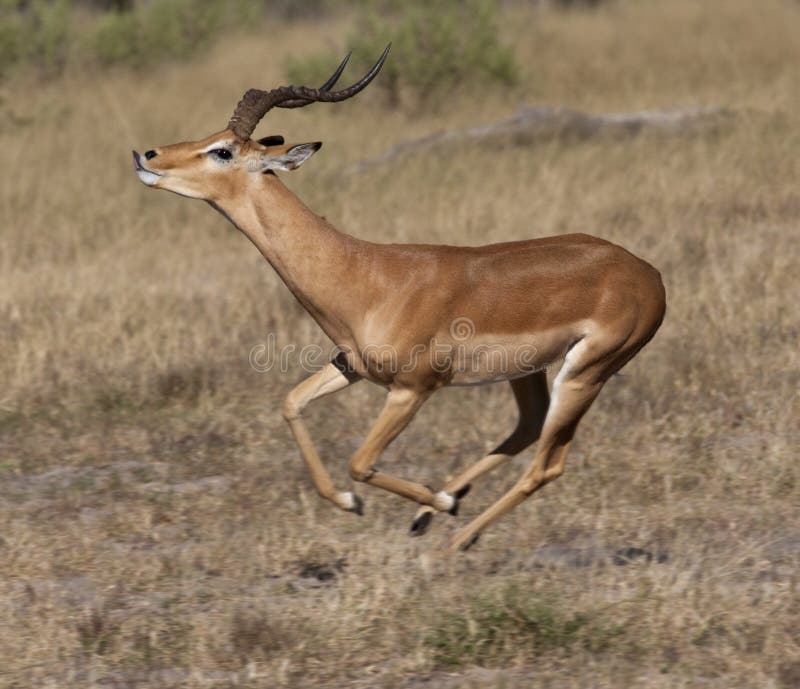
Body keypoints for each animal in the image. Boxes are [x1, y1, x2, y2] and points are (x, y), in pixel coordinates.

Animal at [132, 47, 666, 552]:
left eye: (222, 150)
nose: (146, 156)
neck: (367, 273)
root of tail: (649, 275)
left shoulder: (411, 390)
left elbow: (359, 461)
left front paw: (428, 501)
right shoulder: (351, 366)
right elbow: (291, 403)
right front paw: (353, 503)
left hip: (584, 374)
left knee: (546, 466)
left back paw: (449, 538)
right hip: (530, 372)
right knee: (529, 428)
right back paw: (437, 515)